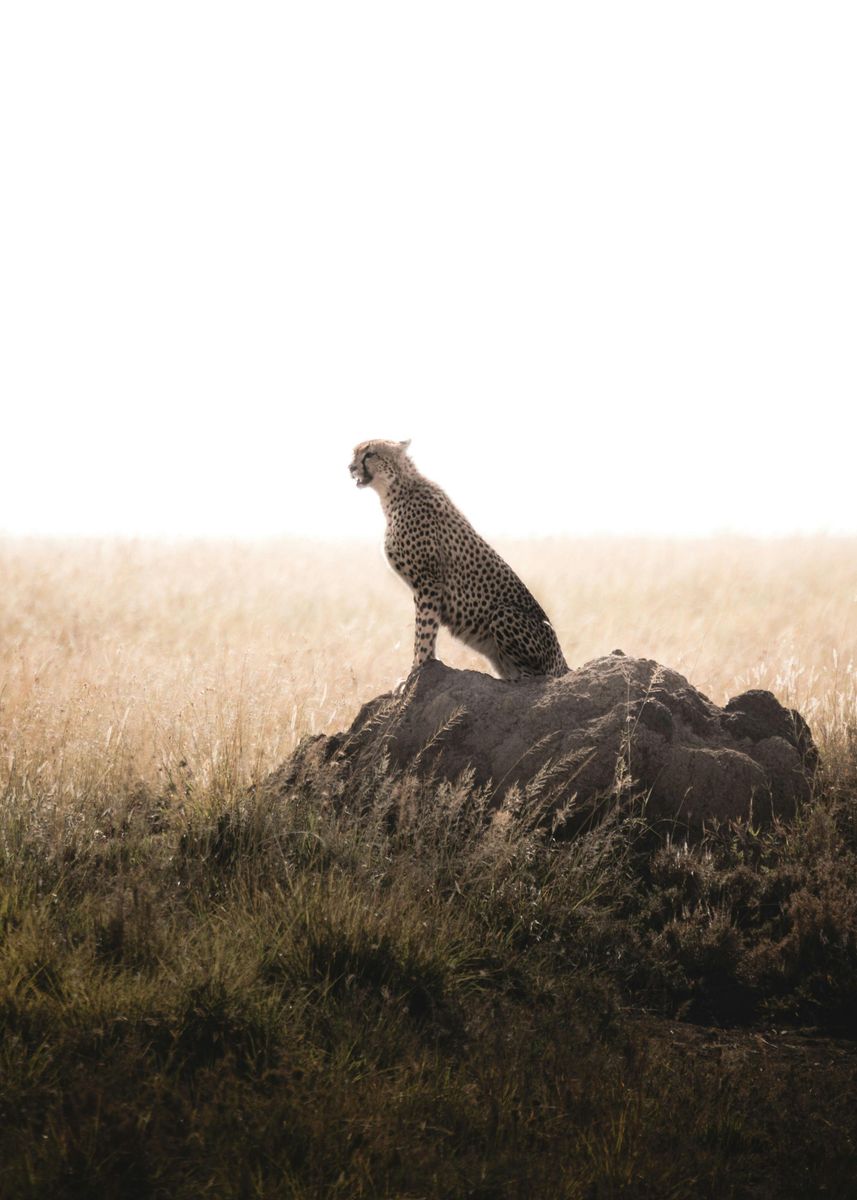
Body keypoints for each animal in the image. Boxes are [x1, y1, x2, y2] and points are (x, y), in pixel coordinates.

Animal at [348, 439, 568, 681]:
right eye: (354, 453)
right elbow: (426, 627)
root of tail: (564, 664)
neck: (394, 491)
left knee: (536, 676)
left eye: (370, 454)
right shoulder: (426, 586)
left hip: (504, 614)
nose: (350, 467)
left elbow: (424, 629)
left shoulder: (429, 581)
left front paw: (417, 669)